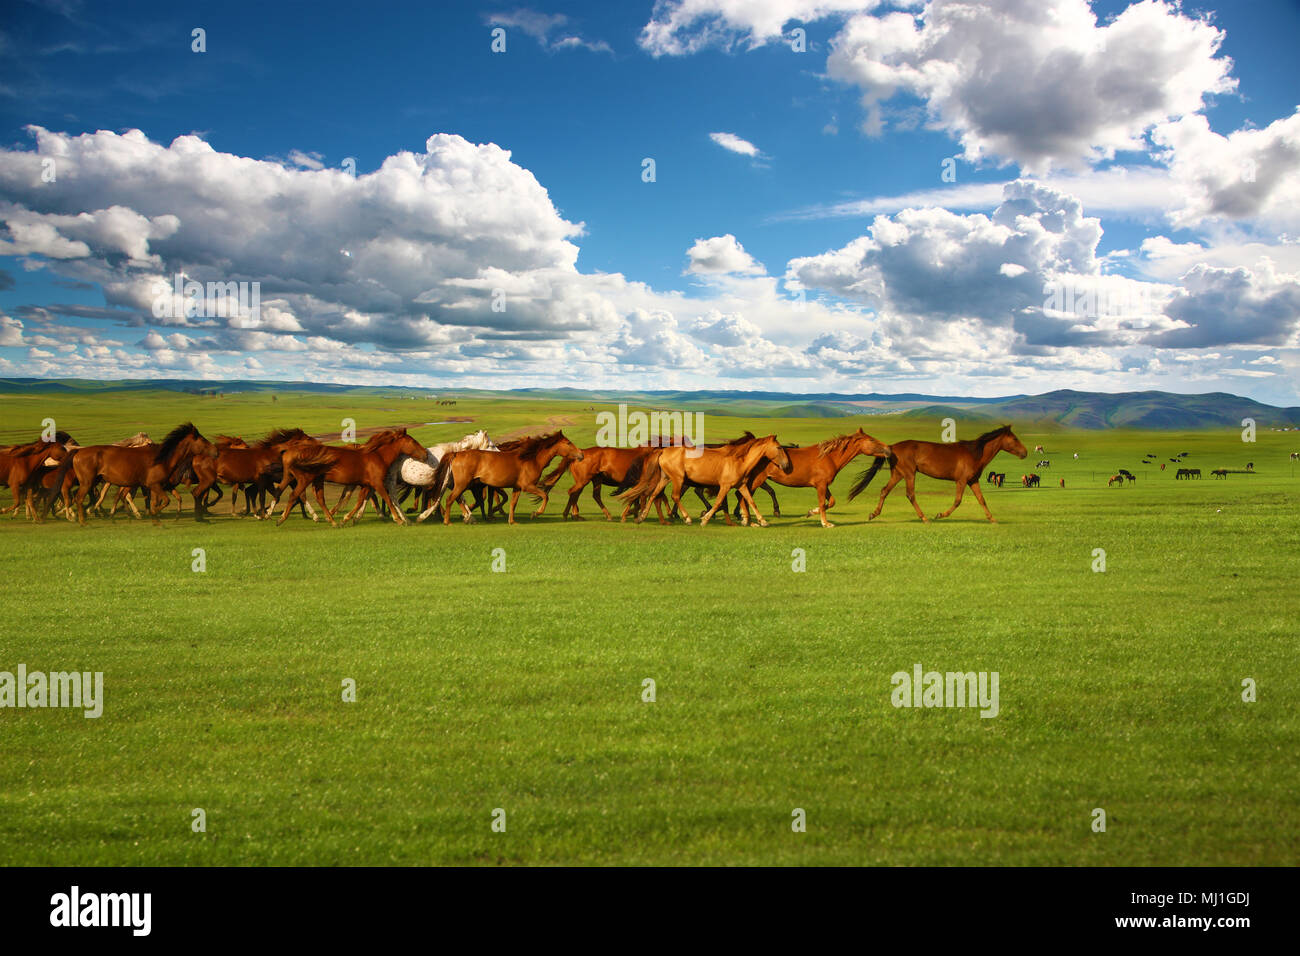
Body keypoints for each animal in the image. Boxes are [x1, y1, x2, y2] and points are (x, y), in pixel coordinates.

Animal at [431, 431, 585, 525]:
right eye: (568, 443)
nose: (581, 454)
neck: (531, 459)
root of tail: (456, 453)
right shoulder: (528, 486)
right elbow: (545, 496)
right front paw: (535, 513)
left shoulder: (517, 488)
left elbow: (512, 503)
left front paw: (512, 521)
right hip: (462, 484)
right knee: (450, 499)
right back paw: (448, 521)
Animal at [618, 435, 792, 527]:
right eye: (779, 448)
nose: (787, 465)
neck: (739, 460)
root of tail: (663, 451)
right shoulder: (724, 486)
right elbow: (718, 503)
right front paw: (704, 519)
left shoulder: (741, 486)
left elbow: (750, 501)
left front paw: (761, 521)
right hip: (678, 479)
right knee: (674, 496)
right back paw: (686, 518)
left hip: (665, 478)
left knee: (653, 494)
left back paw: (641, 517)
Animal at [741, 429, 890, 528]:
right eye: (871, 440)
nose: (888, 449)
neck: (828, 457)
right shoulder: (821, 485)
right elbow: (822, 504)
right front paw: (825, 523)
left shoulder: (824, 485)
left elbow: (831, 502)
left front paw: (810, 513)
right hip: (756, 481)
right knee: (744, 496)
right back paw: (751, 520)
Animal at [848, 425, 1027, 523]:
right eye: (1015, 439)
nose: (1025, 453)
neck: (975, 453)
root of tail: (891, 447)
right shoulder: (961, 481)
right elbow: (958, 501)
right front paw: (940, 514)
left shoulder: (973, 481)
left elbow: (982, 500)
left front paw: (993, 520)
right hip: (909, 474)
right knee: (910, 494)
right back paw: (925, 518)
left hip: (898, 474)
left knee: (884, 490)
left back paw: (873, 514)